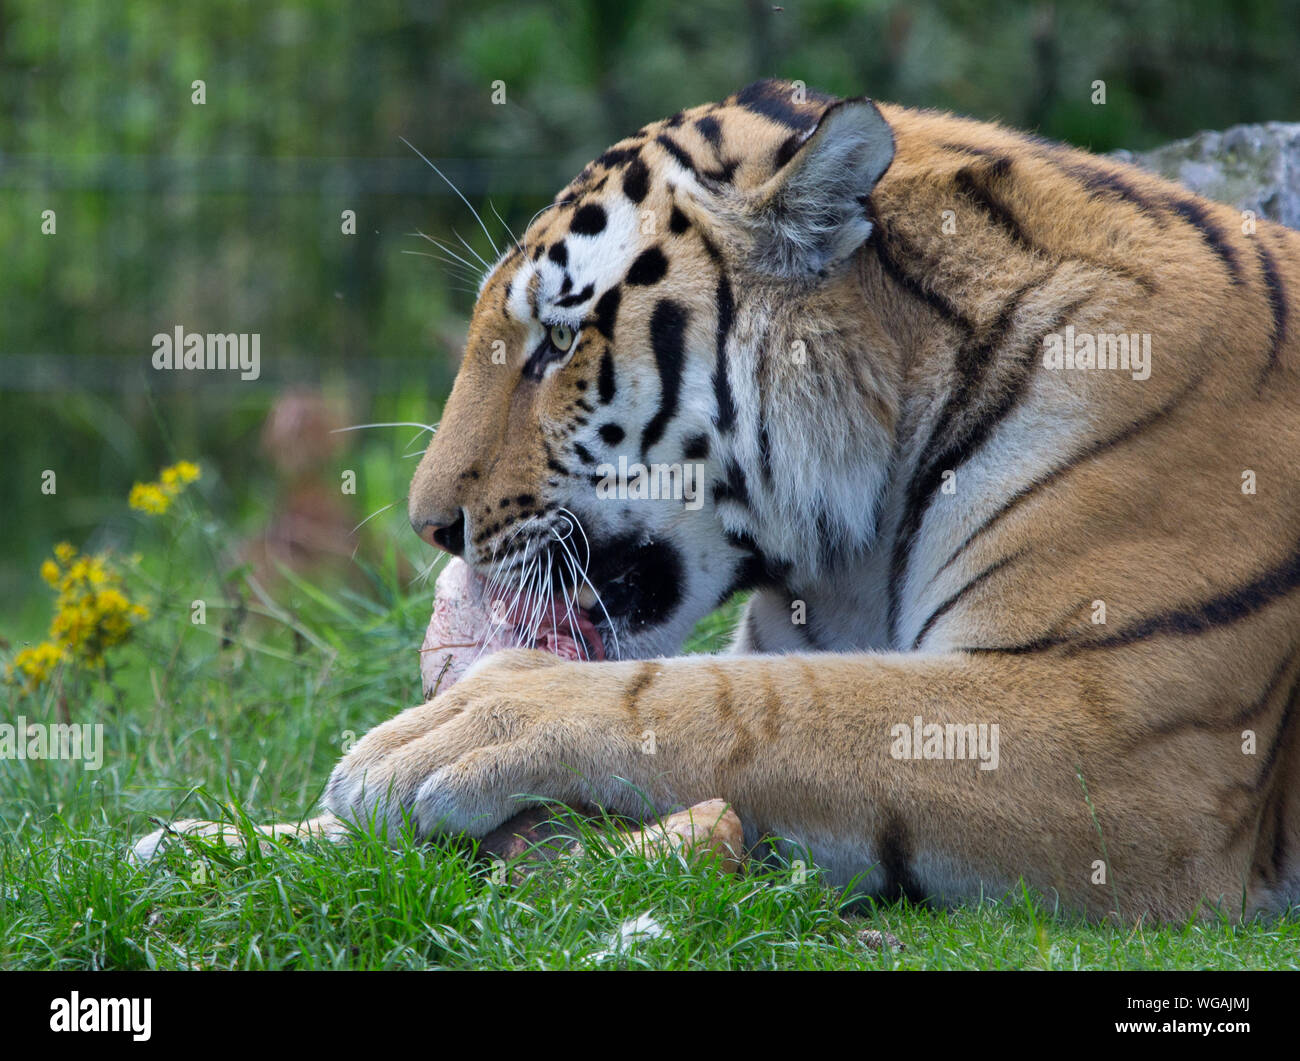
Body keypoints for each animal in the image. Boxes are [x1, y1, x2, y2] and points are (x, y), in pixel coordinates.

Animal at [135, 79, 1300, 922]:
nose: (432, 526)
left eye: (557, 342)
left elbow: (741, 701)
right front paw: (208, 846)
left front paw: (448, 731)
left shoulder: (1111, 726)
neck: (856, 542)